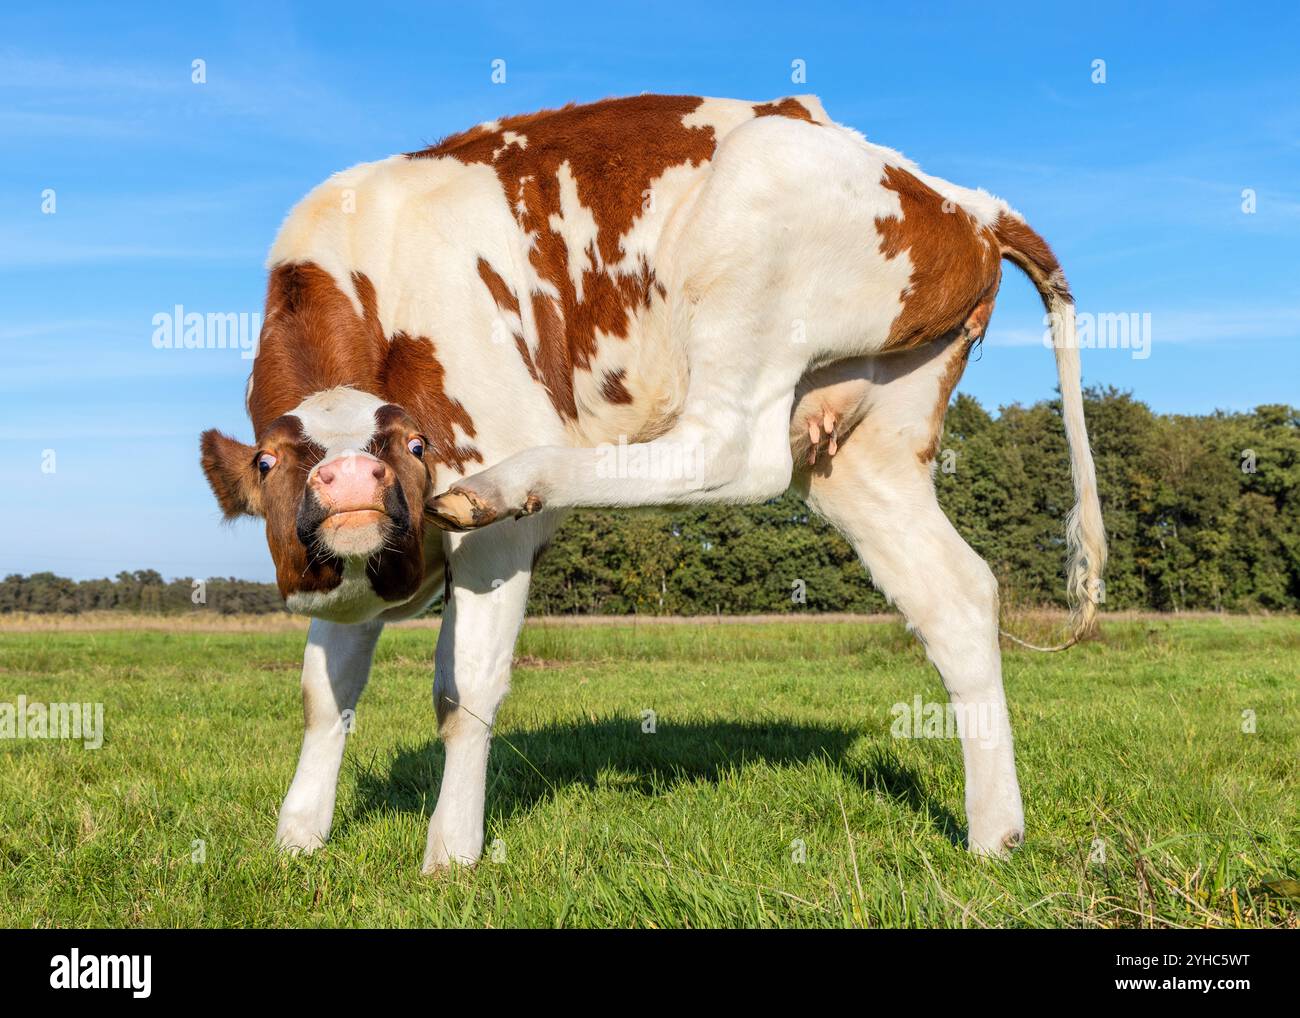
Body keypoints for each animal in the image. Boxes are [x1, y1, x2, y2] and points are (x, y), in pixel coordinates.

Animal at [200, 94, 1106, 873]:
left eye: (412, 442)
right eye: (275, 462)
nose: (353, 475)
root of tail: (961, 199)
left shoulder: (493, 521)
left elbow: (463, 693)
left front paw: (449, 854)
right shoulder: (346, 581)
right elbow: (324, 694)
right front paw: (296, 838)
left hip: (753, 246)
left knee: (731, 453)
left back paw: (519, 478)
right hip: (865, 446)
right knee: (957, 595)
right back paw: (994, 836)